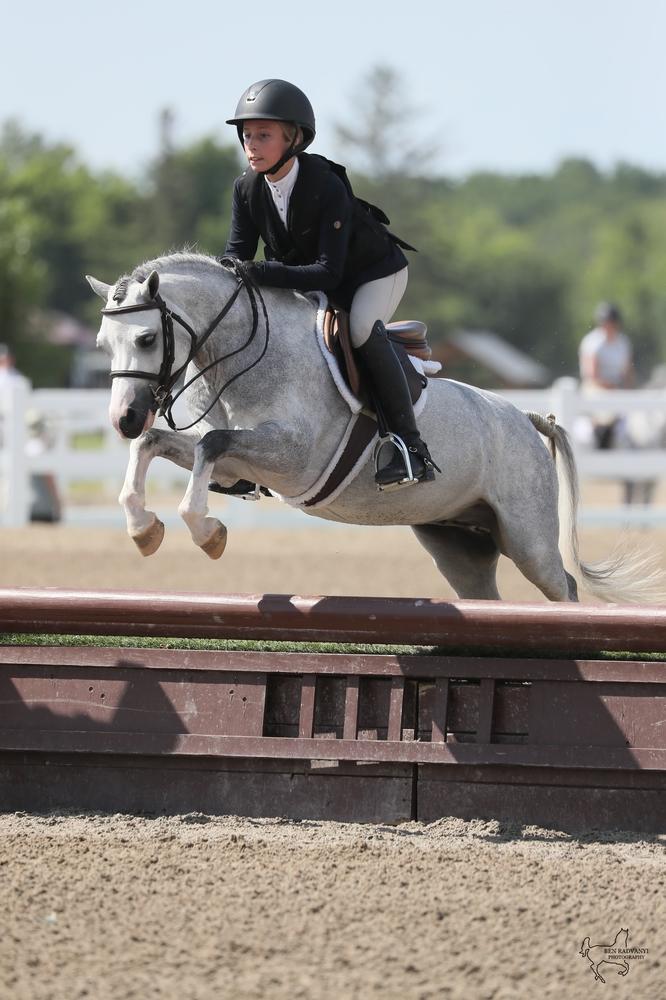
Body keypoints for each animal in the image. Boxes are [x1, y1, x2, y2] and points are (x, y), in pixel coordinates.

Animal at [86, 252, 663, 603]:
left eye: (144, 340)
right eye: (101, 345)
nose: (123, 418)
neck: (245, 357)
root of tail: (526, 418)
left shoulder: (291, 458)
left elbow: (209, 441)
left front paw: (206, 531)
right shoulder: (238, 465)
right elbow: (161, 444)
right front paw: (143, 528)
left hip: (528, 538)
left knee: (562, 587)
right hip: (459, 544)